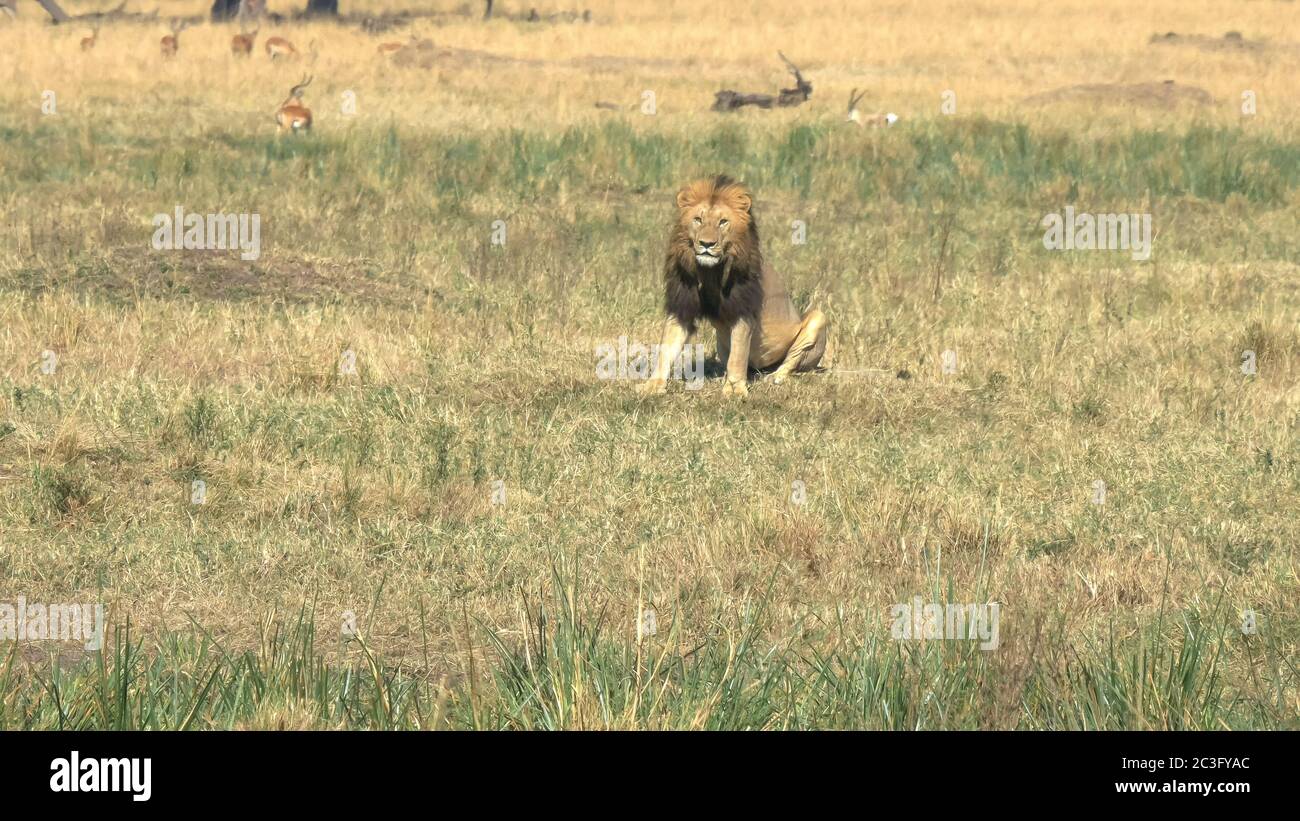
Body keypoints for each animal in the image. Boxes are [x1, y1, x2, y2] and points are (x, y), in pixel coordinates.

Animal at [638, 175, 829, 397]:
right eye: (698, 219)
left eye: (723, 222)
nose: (706, 244)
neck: (710, 272)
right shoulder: (682, 306)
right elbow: (666, 348)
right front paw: (652, 385)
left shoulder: (743, 310)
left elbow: (738, 354)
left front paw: (736, 389)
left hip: (817, 319)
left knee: (790, 364)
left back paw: (775, 377)